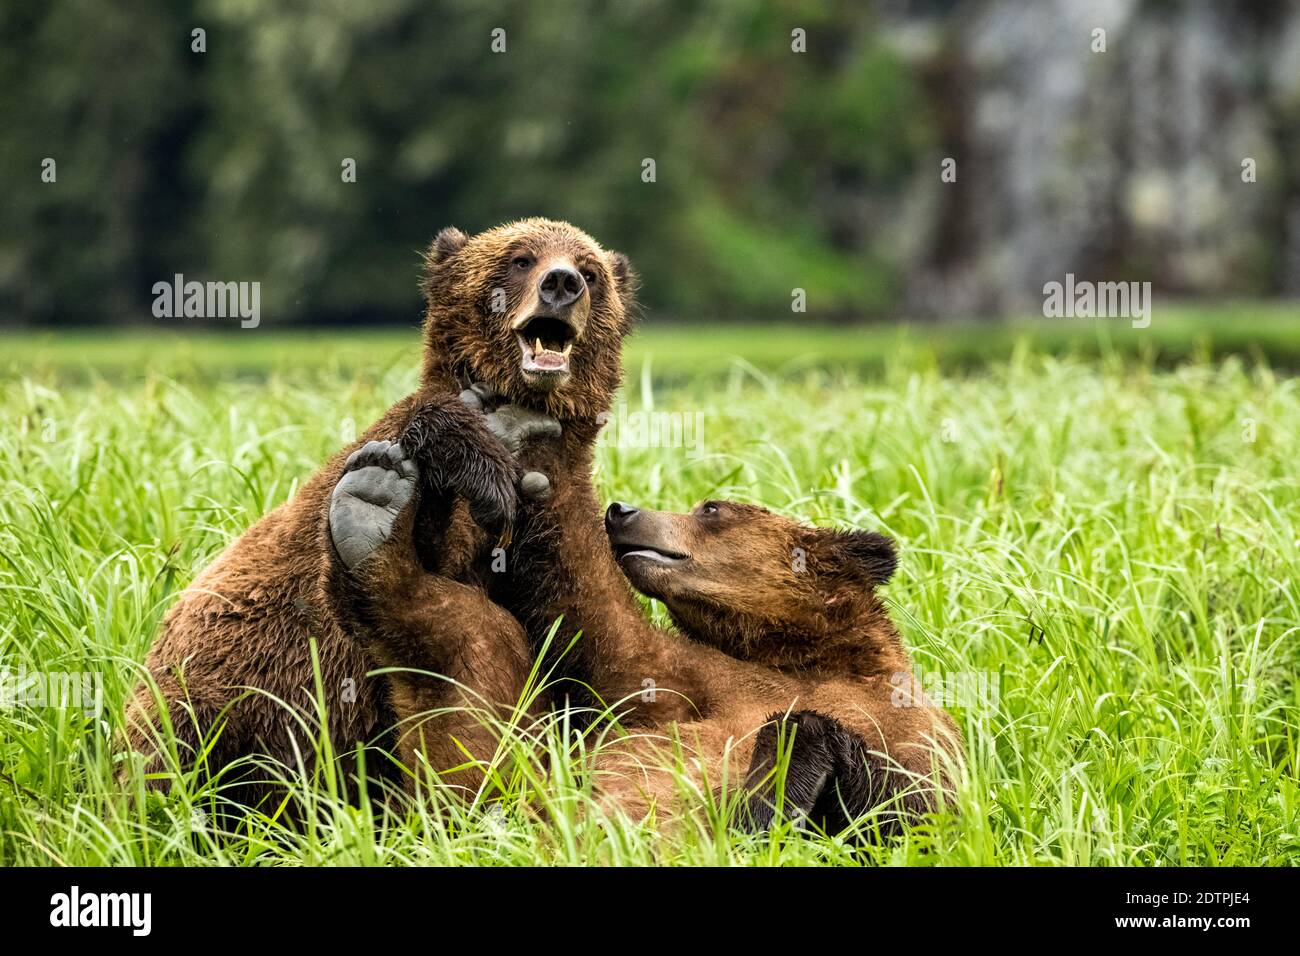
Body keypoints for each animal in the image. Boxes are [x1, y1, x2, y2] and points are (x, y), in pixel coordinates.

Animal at [123, 218, 637, 806]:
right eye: (520, 258)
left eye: (590, 270)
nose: (562, 282)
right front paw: (478, 455)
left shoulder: (548, 533)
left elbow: (595, 647)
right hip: (211, 698)